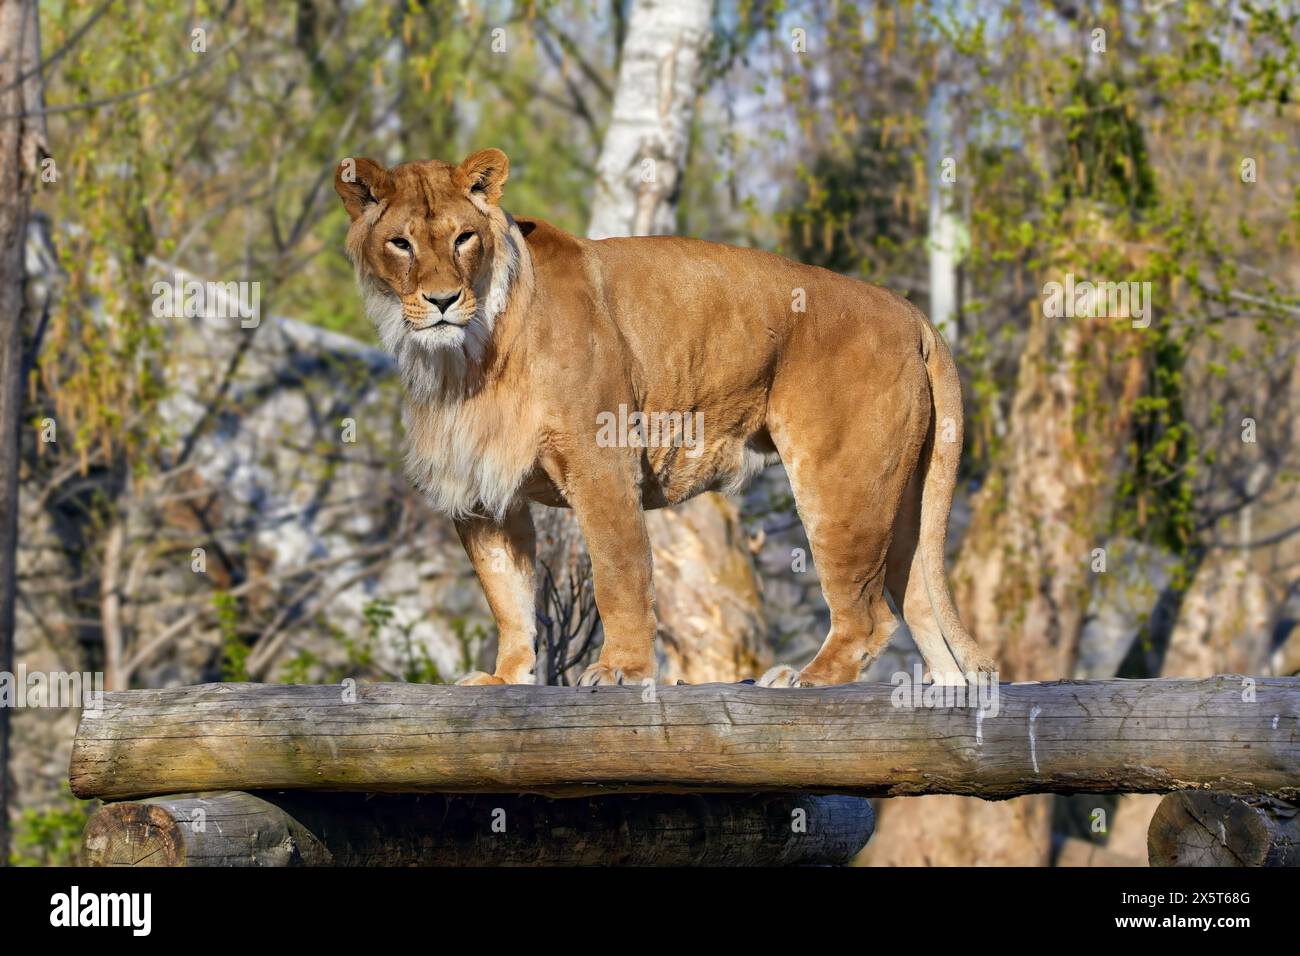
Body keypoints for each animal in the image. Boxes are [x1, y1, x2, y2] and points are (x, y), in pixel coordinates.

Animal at [334, 148, 994, 688]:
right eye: (401, 244)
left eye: (463, 238)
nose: (444, 300)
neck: (465, 359)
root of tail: (910, 312)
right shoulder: (479, 490)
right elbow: (507, 596)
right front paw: (506, 677)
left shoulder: (600, 459)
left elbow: (619, 572)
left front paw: (621, 670)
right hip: (902, 489)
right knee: (917, 596)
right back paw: (940, 686)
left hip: (841, 480)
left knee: (870, 614)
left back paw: (804, 678)